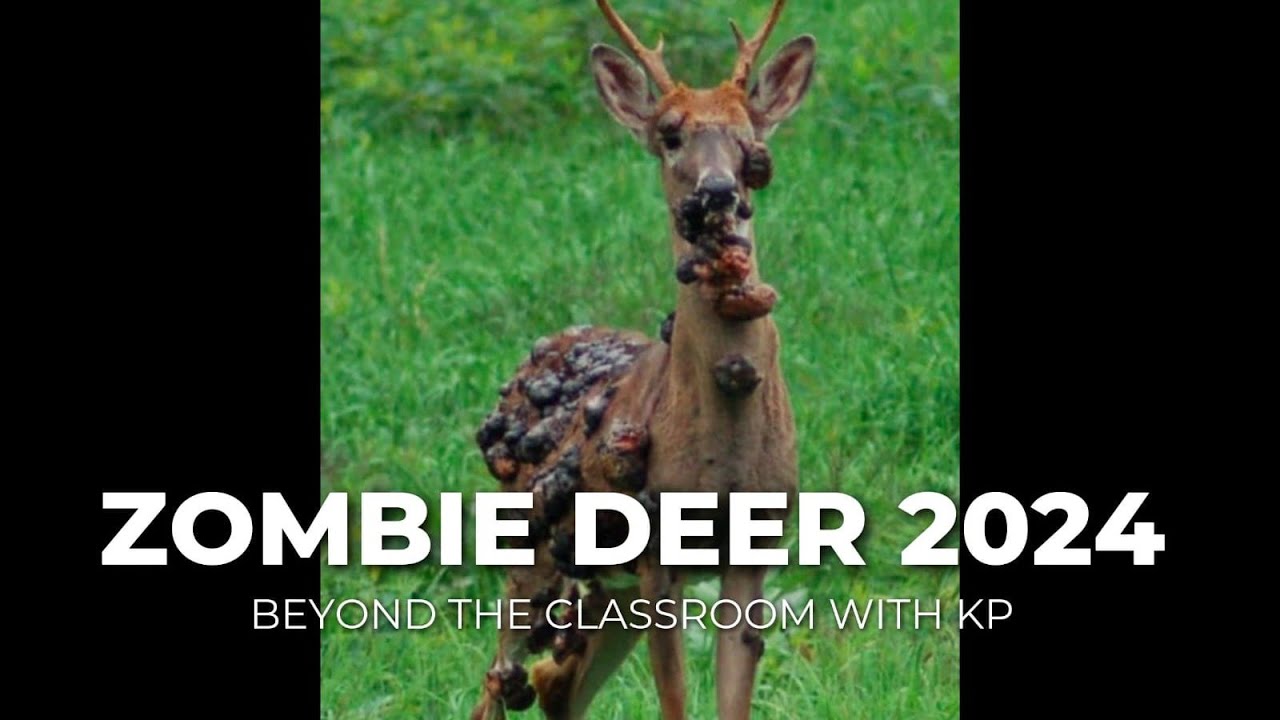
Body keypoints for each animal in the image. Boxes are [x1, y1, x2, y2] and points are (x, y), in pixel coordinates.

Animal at [470, 1, 815, 718]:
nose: (718, 191)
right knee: (497, 681)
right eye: (670, 135)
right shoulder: (658, 555)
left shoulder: (754, 550)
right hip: (533, 547)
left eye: (751, 139)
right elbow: (676, 700)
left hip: (605, 586)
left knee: (559, 688)